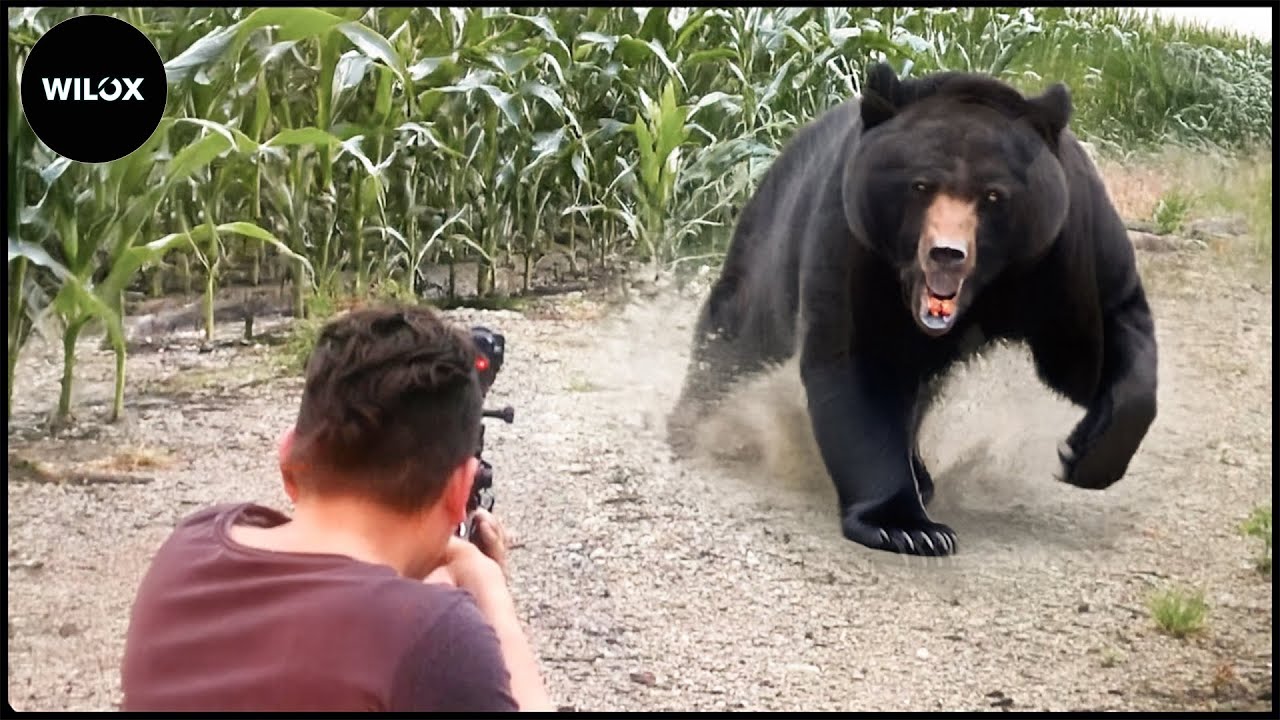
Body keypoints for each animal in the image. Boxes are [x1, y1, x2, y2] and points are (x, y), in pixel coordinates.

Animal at [667, 63, 1159, 557]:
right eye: (920, 185)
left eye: (993, 195)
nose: (947, 253)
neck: (986, 289)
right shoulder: (856, 245)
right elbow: (859, 366)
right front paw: (907, 527)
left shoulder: (1063, 253)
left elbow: (1100, 343)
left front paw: (1084, 455)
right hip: (779, 233)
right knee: (738, 329)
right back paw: (687, 423)